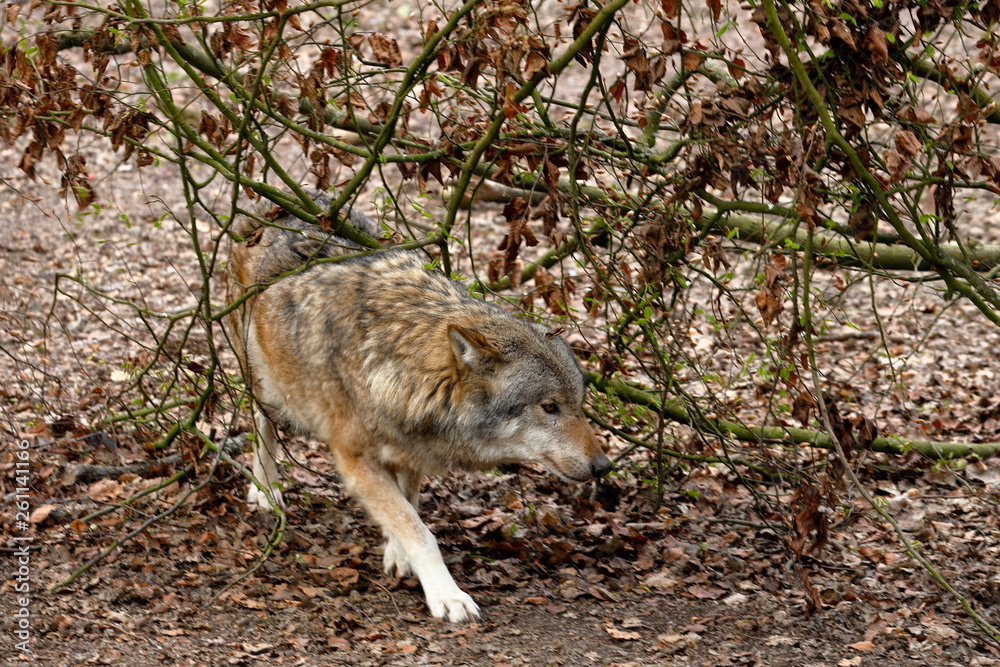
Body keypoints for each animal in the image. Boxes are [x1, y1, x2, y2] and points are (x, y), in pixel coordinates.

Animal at [225, 191, 612, 622]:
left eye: (578, 404)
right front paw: (447, 595)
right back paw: (265, 489)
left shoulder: (411, 451)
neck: (395, 361)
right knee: (261, 424)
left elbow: (406, 506)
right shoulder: (354, 458)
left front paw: (397, 552)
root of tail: (277, 200)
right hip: (266, 384)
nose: (603, 466)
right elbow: (418, 530)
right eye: (549, 408)